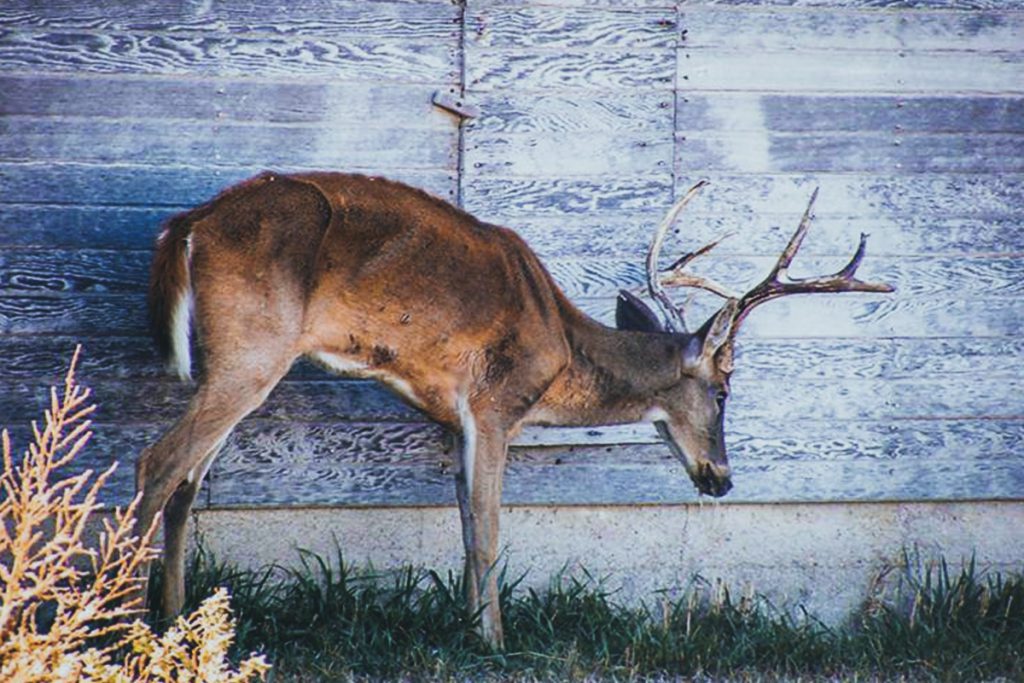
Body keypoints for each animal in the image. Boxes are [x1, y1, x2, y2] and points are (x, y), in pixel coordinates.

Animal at [137, 171, 893, 649]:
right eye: (726, 390)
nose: (722, 478)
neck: (560, 348)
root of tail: (185, 227)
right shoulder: (496, 403)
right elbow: (491, 532)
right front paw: (495, 642)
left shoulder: (453, 421)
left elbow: (467, 526)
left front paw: (468, 629)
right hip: (253, 346)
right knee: (157, 462)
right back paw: (125, 620)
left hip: (234, 357)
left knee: (186, 482)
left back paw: (177, 620)